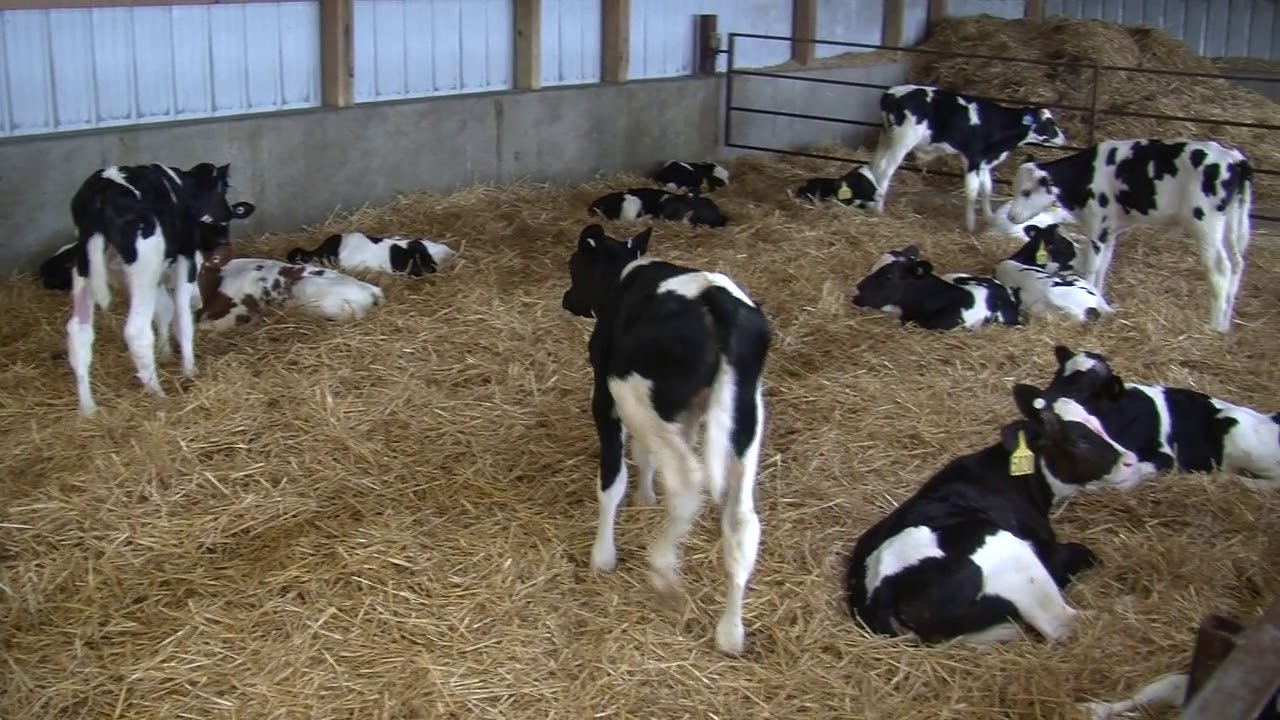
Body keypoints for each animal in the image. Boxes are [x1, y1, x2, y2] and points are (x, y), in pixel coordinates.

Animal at [64, 162, 235, 416]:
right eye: (224, 187)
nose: (227, 215)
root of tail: (103, 190)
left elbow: (163, 309)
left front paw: (165, 353)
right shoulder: (185, 258)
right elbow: (181, 315)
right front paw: (189, 368)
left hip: (85, 267)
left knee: (79, 331)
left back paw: (88, 408)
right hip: (145, 263)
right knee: (136, 331)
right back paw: (157, 391)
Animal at [560, 223, 770, 655]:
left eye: (574, 265)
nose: (566, 299)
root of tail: (712, 296)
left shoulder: (605, 397)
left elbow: (613, 479)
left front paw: (603, 555)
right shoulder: (683, 415)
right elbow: (645, 457)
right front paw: (646, 498)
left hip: (635, 395)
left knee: (687, 485)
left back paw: (661, 566)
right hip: (745, 416)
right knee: (742, 521)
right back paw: (731, 632)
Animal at [844, 382, 1142, 646]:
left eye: (1097, 422)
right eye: (1080, 440)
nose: (1132, 461)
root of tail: (880, 589)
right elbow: (1085, 554)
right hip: (1016, 563)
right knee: (1063, 624)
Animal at [870, 84, 1068, 232]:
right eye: (1049, 123)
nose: (1063, 139)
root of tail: (891, 92)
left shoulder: (985, 163)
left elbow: (987, 189)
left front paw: (989, 217)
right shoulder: (973, 158)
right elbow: (972, 192)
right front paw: (970, 225)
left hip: (886, 138)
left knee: (876, 166)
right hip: (903, 141)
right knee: (886, 169)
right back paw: (879, 209)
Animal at [1005, 139, 1254, 333]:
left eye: (1026, 192)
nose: (1011, 215)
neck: (1087, 175)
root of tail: (1234, 160)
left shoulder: (1097, 225)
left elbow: (1093, 266)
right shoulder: (1109, 229)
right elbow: (1103, 266)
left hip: (1206, 224)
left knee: (1220, 269)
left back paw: (1214, 326)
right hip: (1233, 223)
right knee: (1237, 265)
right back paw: (1225, 323)